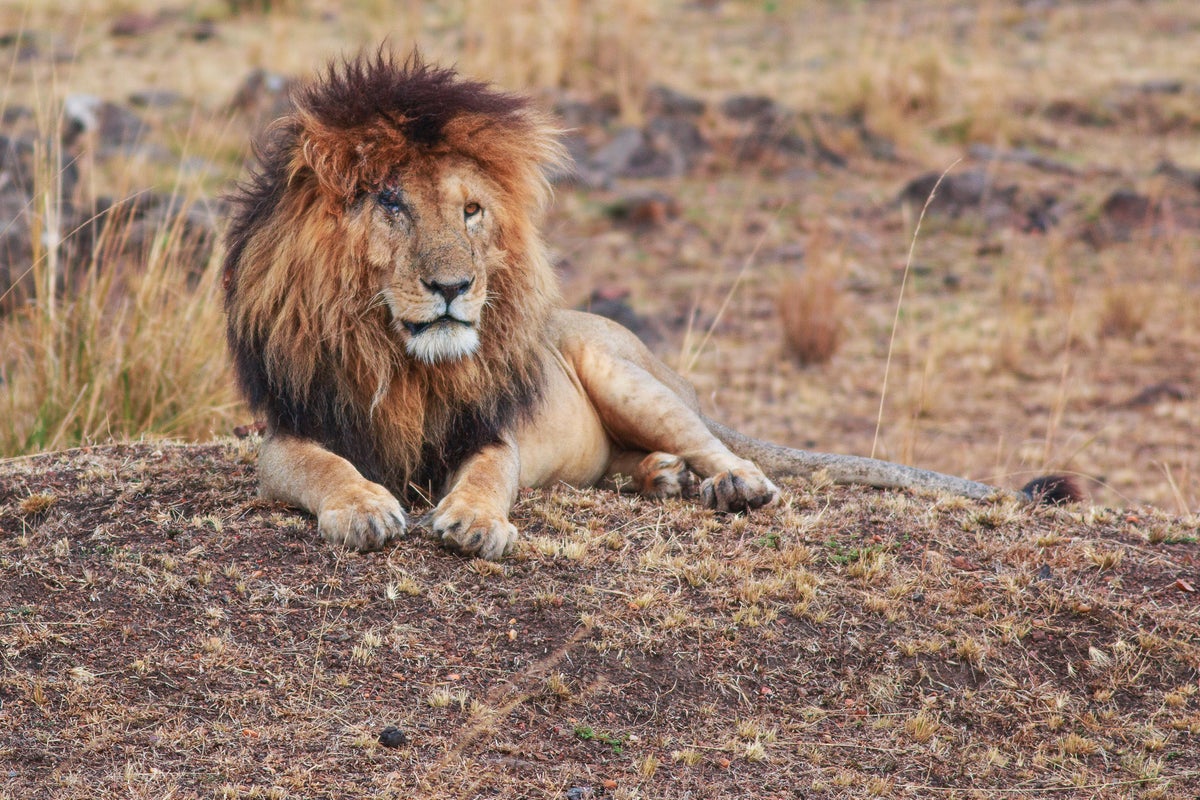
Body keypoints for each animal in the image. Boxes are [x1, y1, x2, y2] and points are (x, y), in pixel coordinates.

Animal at [224, 52, 1080, 560]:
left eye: (471, 211)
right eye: (393, 203)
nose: (453, 288)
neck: (402, 363)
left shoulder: (490, 430)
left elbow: (488, 474)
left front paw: (474, 521)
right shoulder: (292, 431)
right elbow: (322, 467)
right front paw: (363, 507)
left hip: (621, 372)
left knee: (720, 446)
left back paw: (728, 484)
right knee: (638, 461)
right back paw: (661, 478)